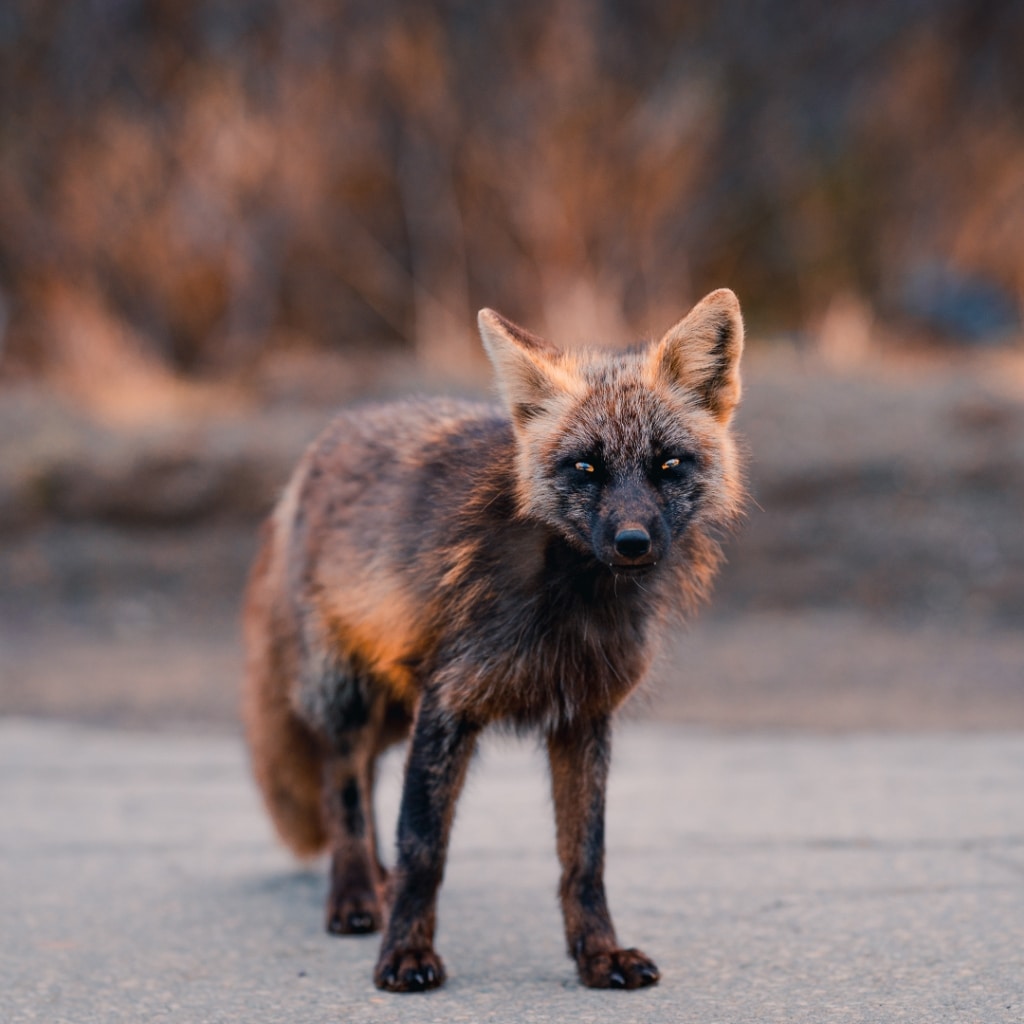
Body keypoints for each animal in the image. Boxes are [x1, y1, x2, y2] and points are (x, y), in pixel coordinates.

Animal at [242, 288, 746, 992]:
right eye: (586, 468)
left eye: (668, 465)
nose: (632, 543)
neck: (569, 605)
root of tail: (326, 440)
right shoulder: (448, 703)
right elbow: (423, 848)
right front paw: (405, 955)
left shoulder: (583, 715)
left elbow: (584, 858)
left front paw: (597, 955)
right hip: (352, 697)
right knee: (342, 790)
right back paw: (356, 897)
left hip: (393, 708)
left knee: (364, 779)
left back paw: (372, 881)